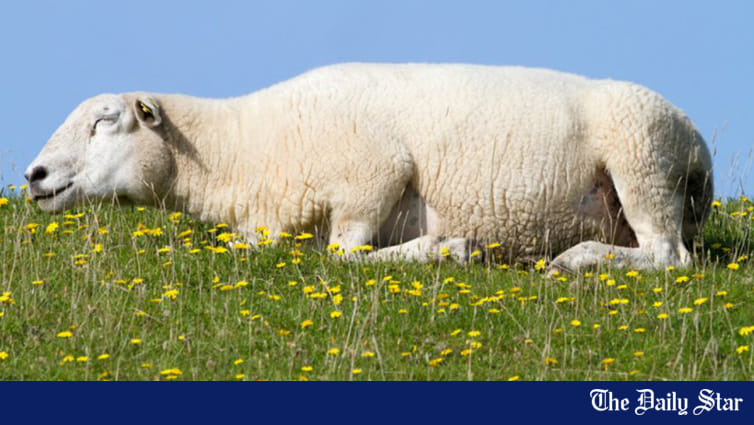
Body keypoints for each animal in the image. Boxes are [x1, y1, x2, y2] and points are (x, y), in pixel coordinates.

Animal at [25, 63, 713, 270]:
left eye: (105, 120)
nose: (33, 177)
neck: (247, 145)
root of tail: (695, 136)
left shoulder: (374, 176)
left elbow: (345, 256)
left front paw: (445, 248)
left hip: (642, 160)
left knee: (668, 256)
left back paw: (576, 260)